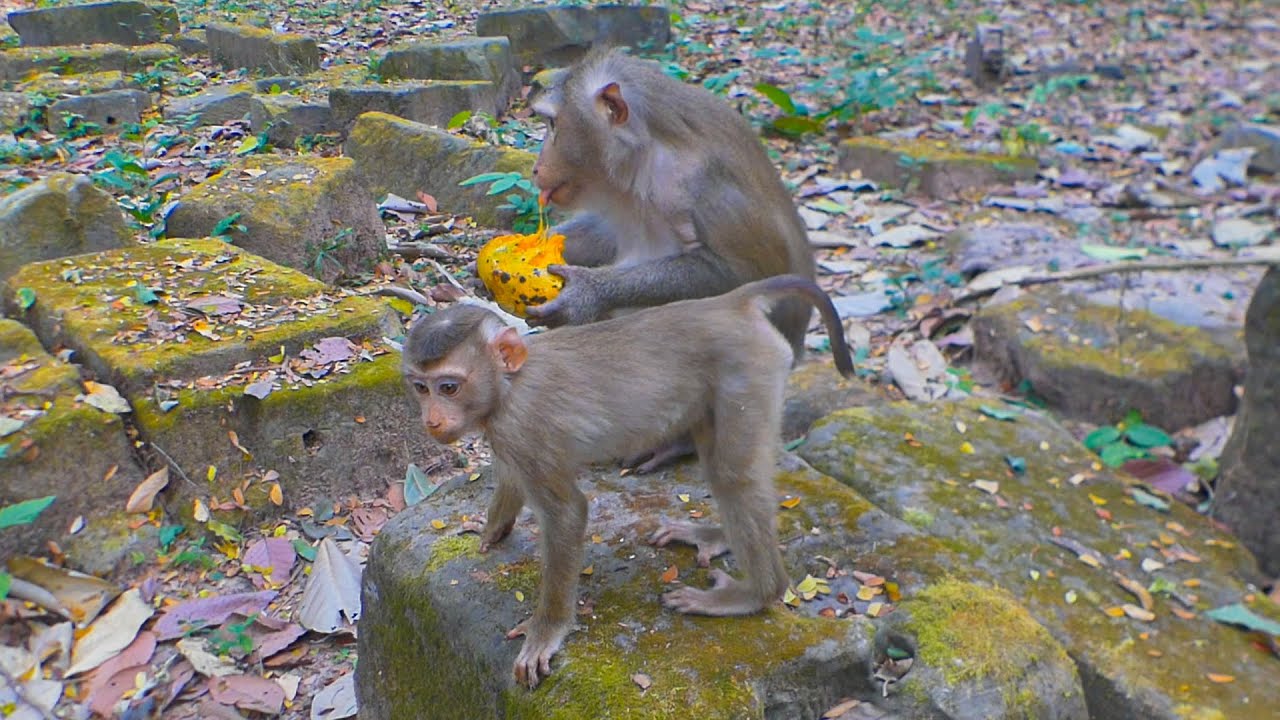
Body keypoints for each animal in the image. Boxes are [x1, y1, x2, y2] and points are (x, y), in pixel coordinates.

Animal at [401, 275, 853, 688]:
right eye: (421, 388)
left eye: (449, 387)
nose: (431, 420)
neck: (510, 384)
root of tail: (730, 301)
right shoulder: (505, 433)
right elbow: (511, 479)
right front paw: (492, 527)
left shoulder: (522, 426)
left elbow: (567, 514)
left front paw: (546, 631)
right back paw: (715, 537)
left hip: (747, 372)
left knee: (733, 476)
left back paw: (756, 594)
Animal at [524, 47, 817, 473]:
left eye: (552, 124)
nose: (535, 166)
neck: (646, 151)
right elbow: (606, 234)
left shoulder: (709, 186)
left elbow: (745, 275)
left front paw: (587, 292)